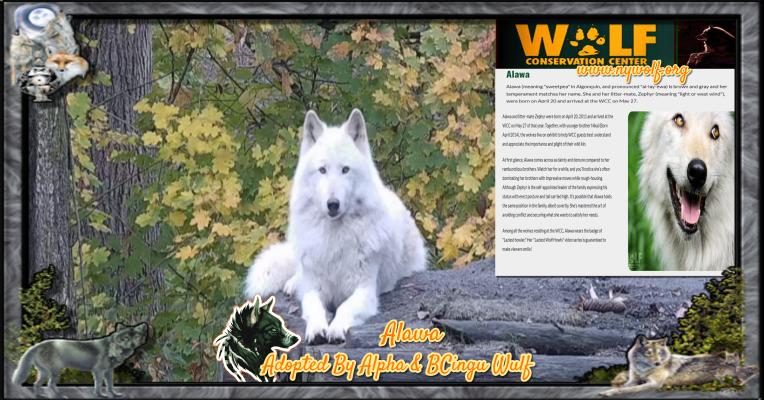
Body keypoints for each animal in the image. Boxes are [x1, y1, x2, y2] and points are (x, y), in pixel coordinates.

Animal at [12, 322, 148, 399]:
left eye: (137, 337)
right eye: (126, 337)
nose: (132, 344)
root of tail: (36, 345)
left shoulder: (109, 371)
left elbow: (110, 385)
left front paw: (114, 395)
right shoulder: (98, 371)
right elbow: (99, 385)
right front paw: (100, 395)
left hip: (45, 372)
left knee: (37, 384)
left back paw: (40, 396)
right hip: (55, 371)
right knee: (50, 384)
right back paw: (61, 397)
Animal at [244, 109, 427, 344]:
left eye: (345, 170)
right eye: (322, 170)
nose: (333, 204)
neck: (335, 238)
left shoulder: (364, 291)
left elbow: (344, 307)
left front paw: (337, 328)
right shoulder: (315, 289)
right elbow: (313, 307)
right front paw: (316, 329)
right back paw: (293, 284)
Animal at [600, 336, 756, 396]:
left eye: (660, 354)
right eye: (649, 353)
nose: (658, 363)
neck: (643, 370)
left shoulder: (654, 384)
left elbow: (627, 390)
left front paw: (610, 393)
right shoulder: (633, 380)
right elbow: (623, 387)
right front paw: (609, 390)